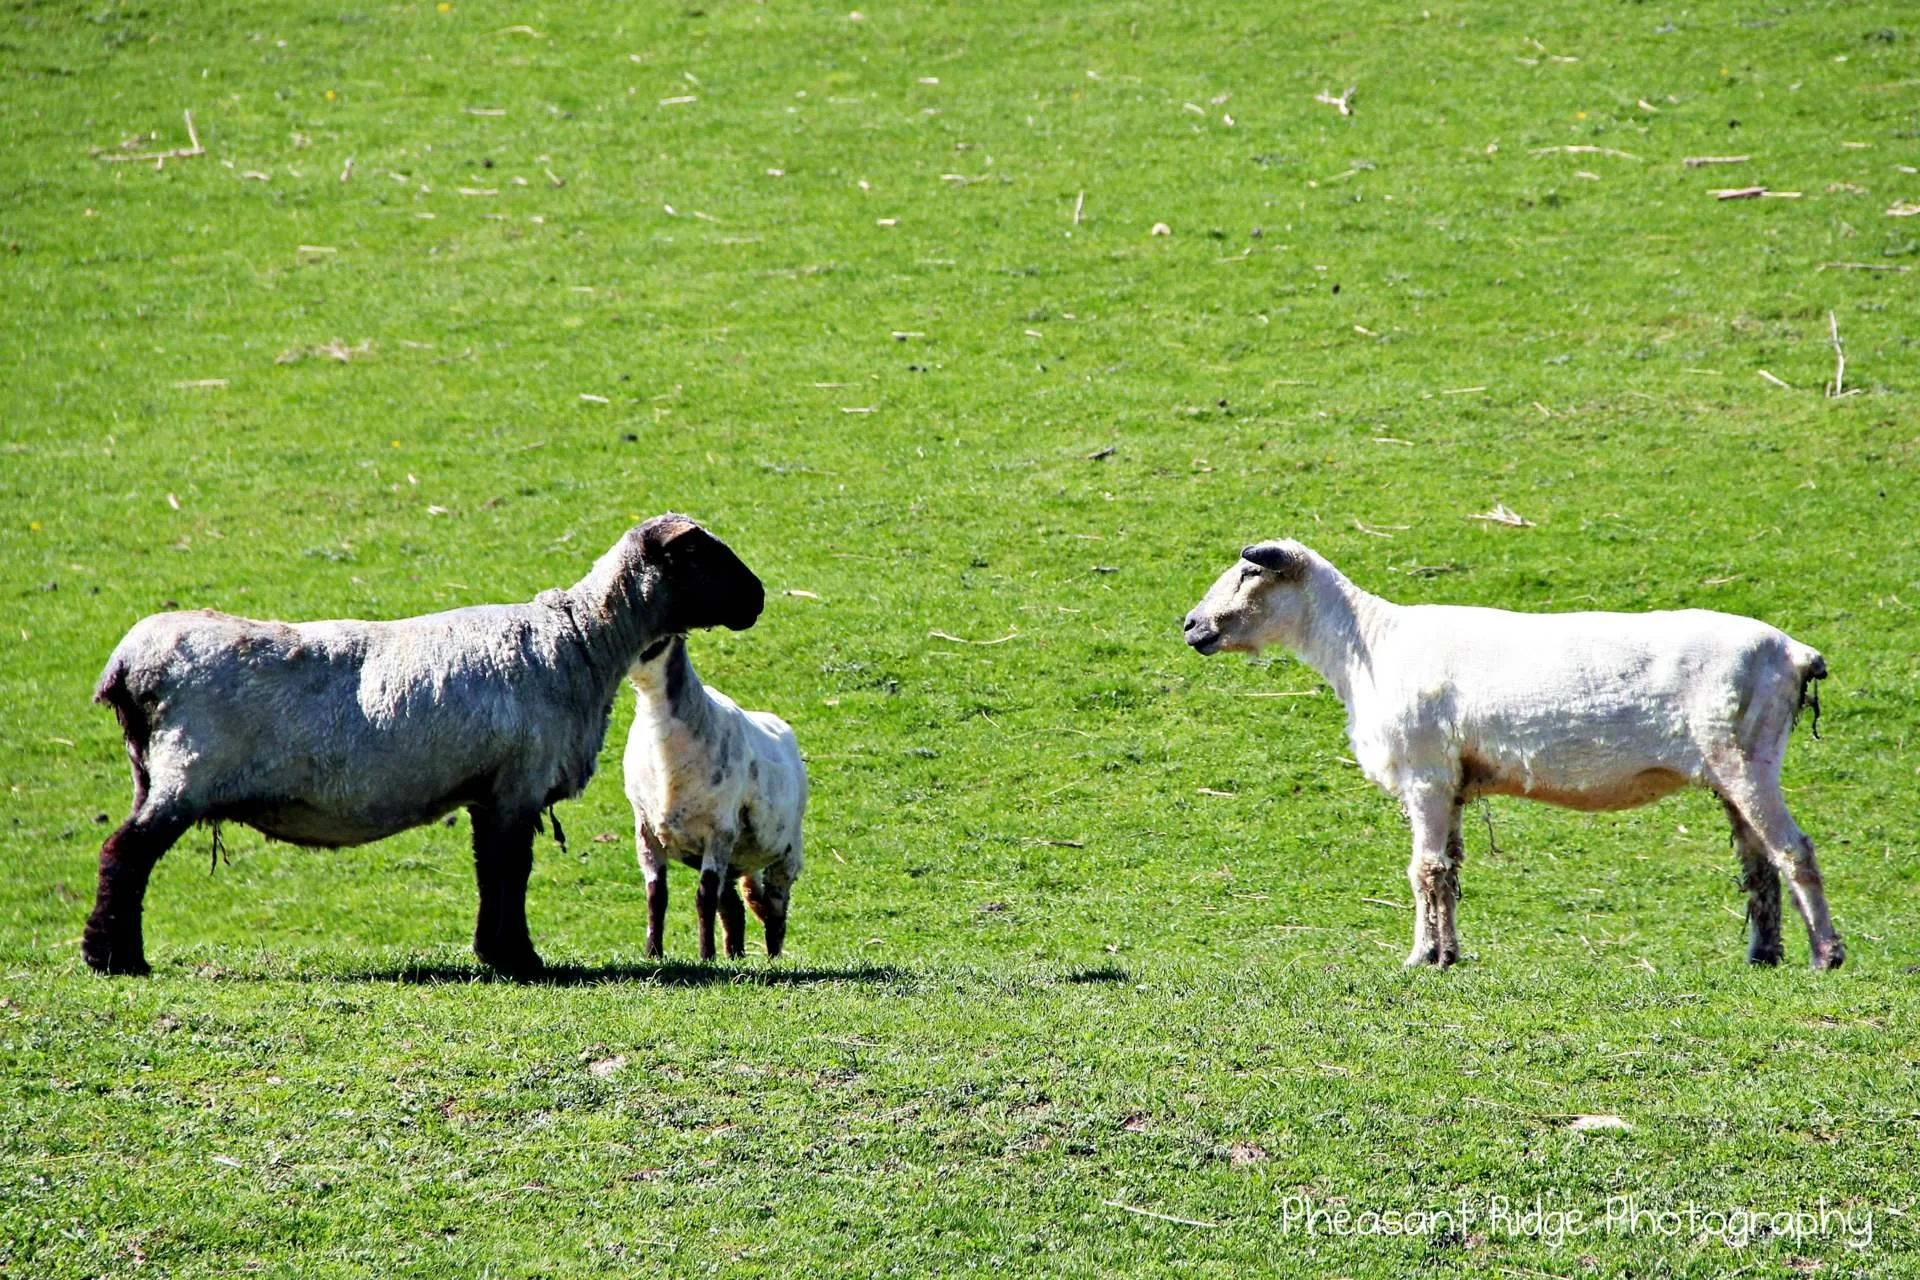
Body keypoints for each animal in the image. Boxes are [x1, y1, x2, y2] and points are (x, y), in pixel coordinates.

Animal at [84, 514, 765, 978]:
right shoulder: (517, 780)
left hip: (154, 772)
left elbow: (491, 870)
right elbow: (511, 870)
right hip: (188, 771)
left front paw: (494, 953)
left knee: (130, 856)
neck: (581, 642)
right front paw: (521, 959)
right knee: (125, 853)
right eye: (701, 555)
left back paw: (122, 952)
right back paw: (112, 958)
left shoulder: (489, 789)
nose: (757, 597)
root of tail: (126, 667)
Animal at [623, 634, 805, 961]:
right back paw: (735, 955)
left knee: (775, 911)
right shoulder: (645, 828)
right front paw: (653, 953)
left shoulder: (719, 830)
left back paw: (772, 958)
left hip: (785, 853)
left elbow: (703, 898)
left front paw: (705, 955)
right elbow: (656, 896)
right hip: (731, 859)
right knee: (735, 909)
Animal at [1182, 540, 1841, 971]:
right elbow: (1448, 870)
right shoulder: (1452, 782)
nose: (1190, 625)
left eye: (1248, 574)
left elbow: (1422, 870)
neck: (1365, 648)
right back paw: (1764, 955)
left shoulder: (1425, 774)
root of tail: (1794, 652)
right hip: (1732, 771)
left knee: (1794, 851)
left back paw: (1825, 955)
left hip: (1747, 758)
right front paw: (1447, 952)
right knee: (1759, 864)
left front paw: (1420, 957)